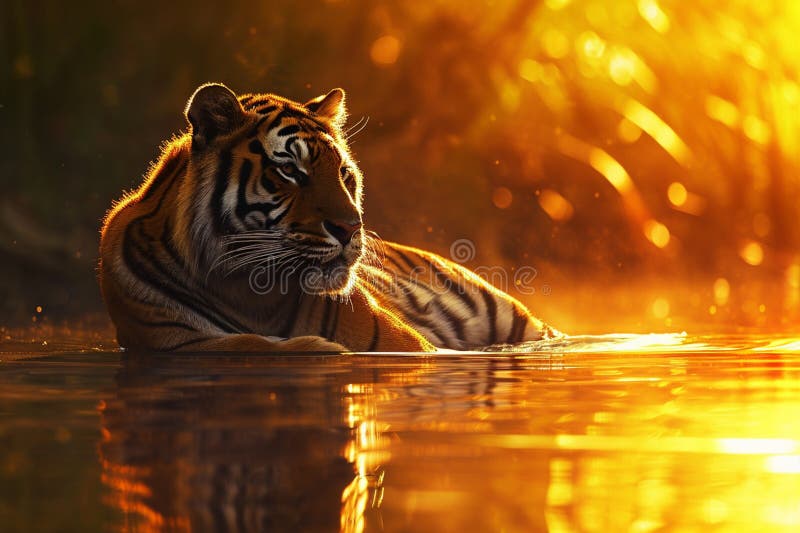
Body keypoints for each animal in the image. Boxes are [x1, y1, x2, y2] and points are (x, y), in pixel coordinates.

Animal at [99, 83, 558, 352]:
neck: (250, 294)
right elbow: (244, 345)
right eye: (290, 170)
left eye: (344, 174)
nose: (351, 228)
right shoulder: (171, 341)